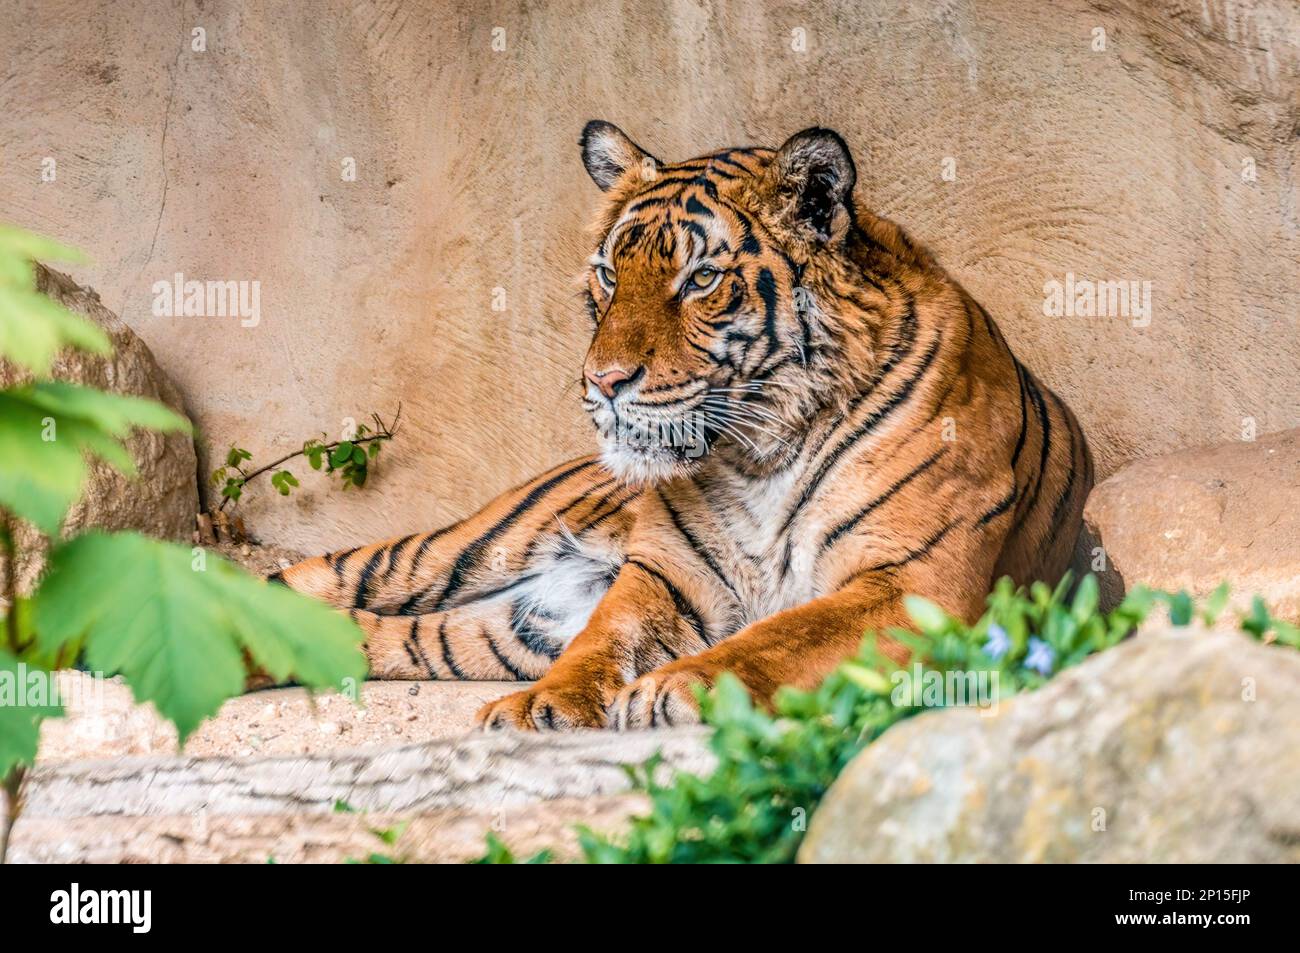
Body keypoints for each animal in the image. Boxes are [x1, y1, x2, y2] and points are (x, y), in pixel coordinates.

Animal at [272, 121, 1092, 732]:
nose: (602, 381)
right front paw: (543, 706)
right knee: (301, 584)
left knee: (365, 633)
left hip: (496, 630)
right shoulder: (665, 572)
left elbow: (781, 635)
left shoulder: (915, 584)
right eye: (609, 273)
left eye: (700, 279)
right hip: (462, 549)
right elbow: (602, 639)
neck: (765, 450)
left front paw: (683, 686)